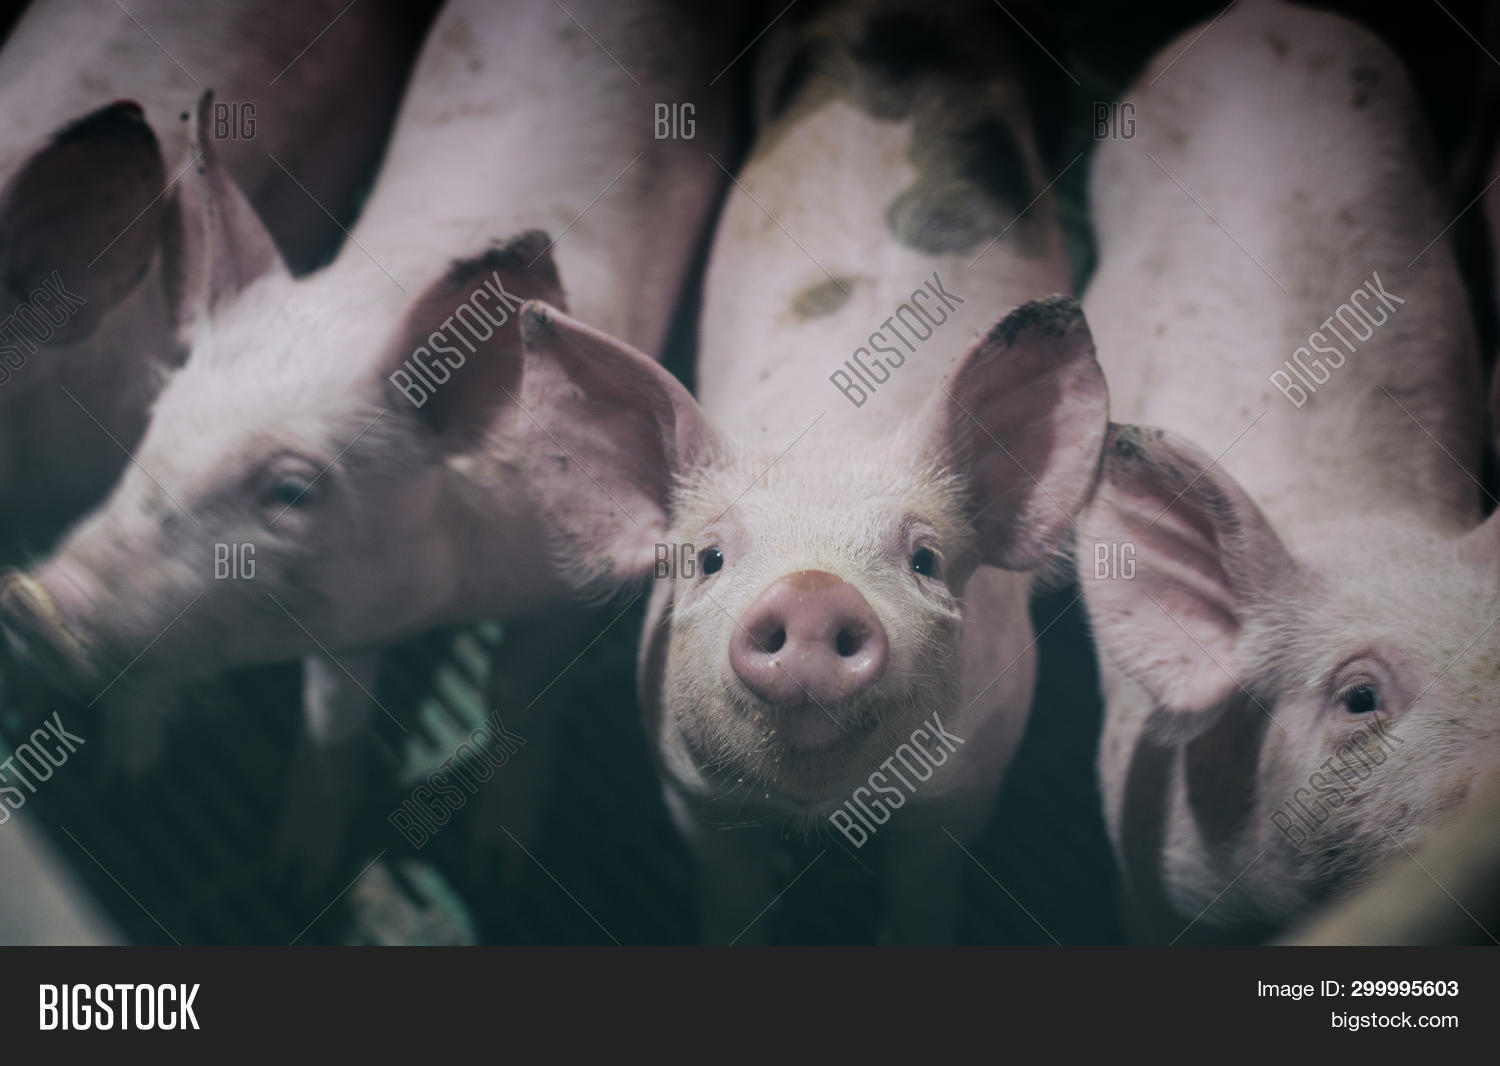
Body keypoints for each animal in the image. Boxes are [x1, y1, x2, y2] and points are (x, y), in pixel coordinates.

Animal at [516, 0, 1108, 943]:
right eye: (709, 558)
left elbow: (925, 892)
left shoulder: (966, 793)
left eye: (926, 559)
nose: (811, 591)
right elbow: (728, 890)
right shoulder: (691, 794)